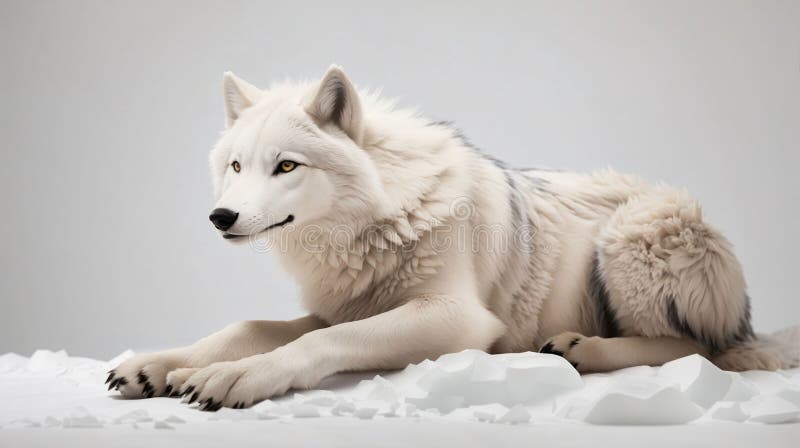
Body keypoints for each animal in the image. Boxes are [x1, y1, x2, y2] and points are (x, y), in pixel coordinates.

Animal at [107, 66, 798, 411]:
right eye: (236, 165)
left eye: (286, 166)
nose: (220, 216)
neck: (378, 221)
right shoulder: (339, 305)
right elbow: (247, 327)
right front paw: (156, 365)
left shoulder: (457, 320)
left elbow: (320, 343)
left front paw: (235, 378)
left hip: (633, 236)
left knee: (698, 348)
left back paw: (580, 350)